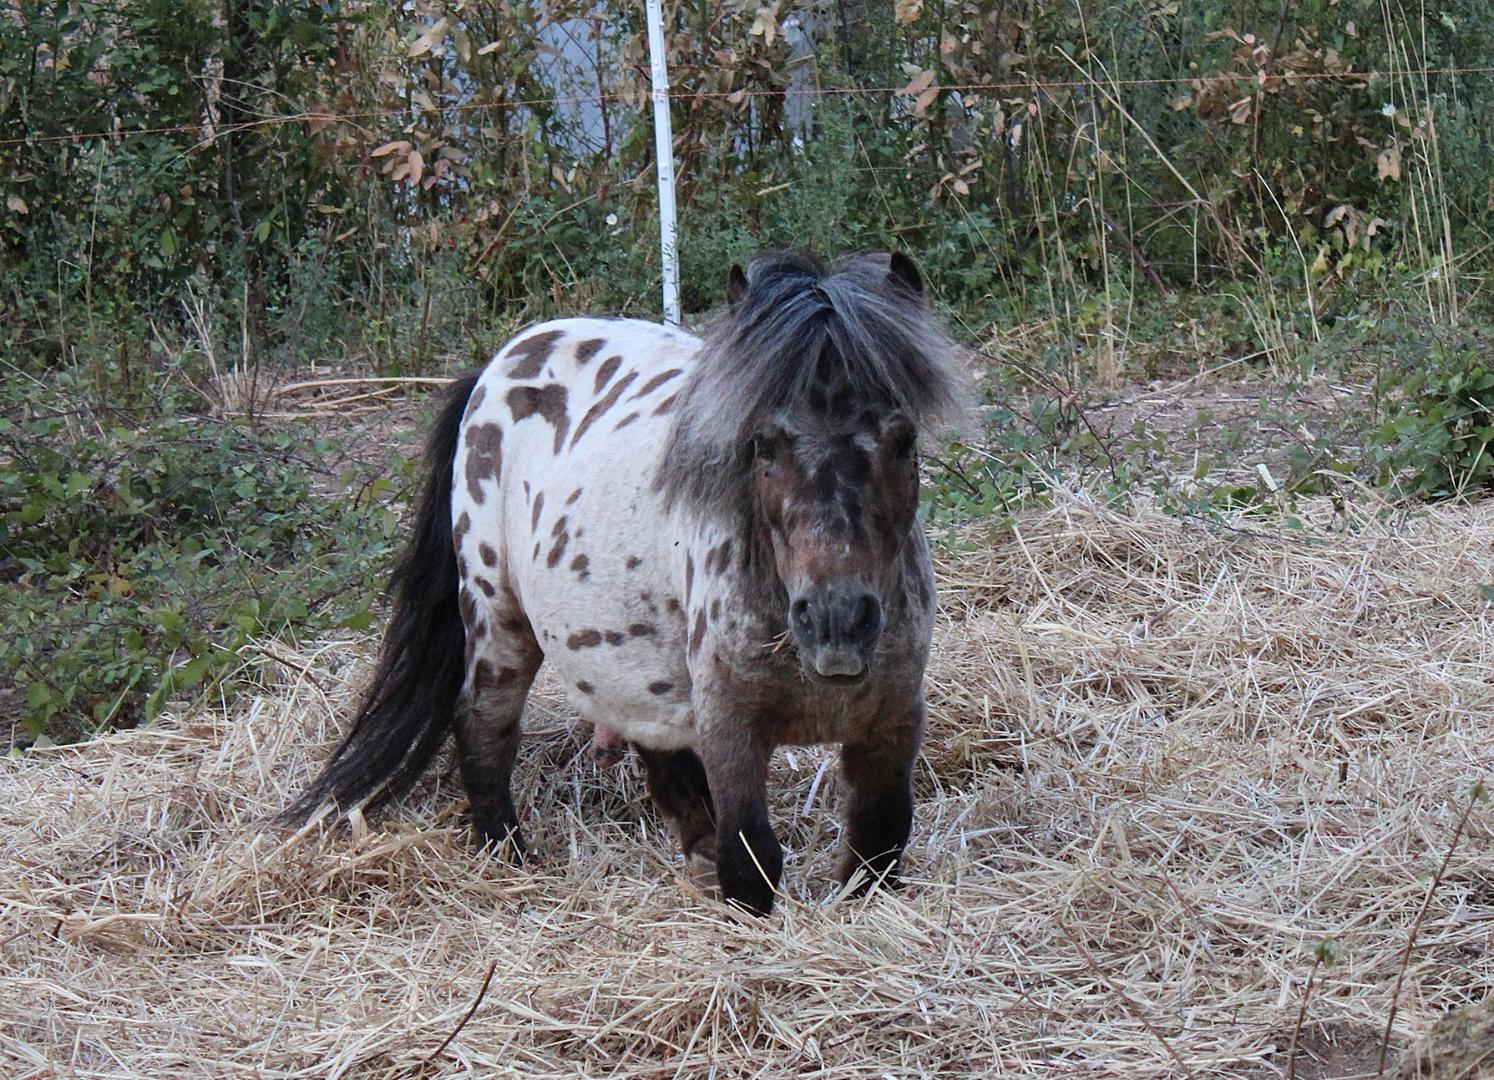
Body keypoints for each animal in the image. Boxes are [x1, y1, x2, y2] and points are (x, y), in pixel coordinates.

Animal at [283, 251, 967, 916]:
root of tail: (503, 360)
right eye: (764, 445)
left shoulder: (892, 722)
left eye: (903, 442)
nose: (836, 621)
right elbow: (753, 865)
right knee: (483, 725)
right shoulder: (730, 724)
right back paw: (507, 858)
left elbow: (878, 846)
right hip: (497, 617)